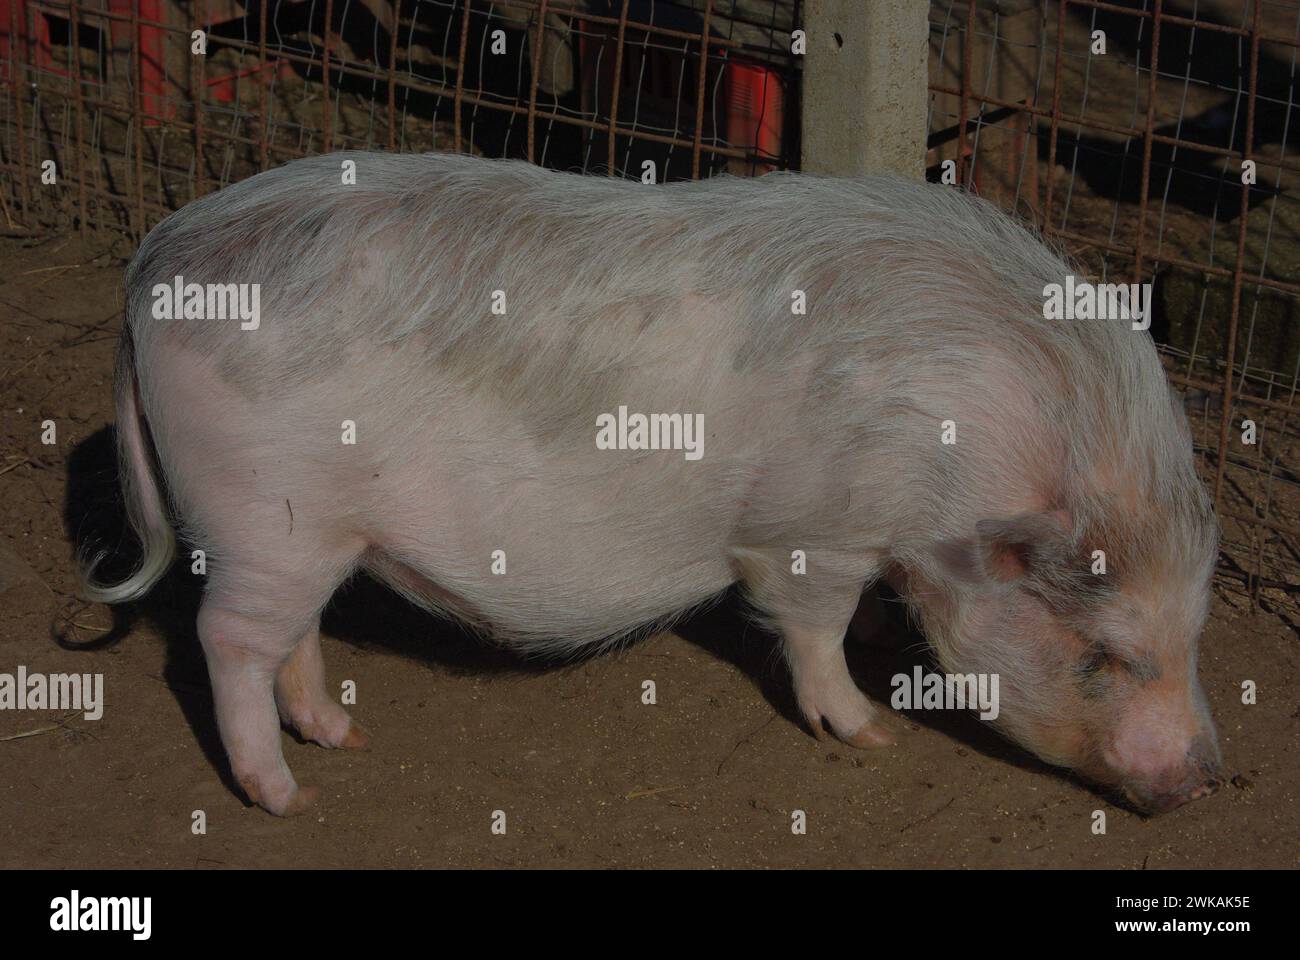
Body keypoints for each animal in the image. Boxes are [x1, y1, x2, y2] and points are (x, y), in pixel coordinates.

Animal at [80, 151, 1225, 816]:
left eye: (1192, 633)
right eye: (1105, 655)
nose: (1199, 782)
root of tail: (154, 264)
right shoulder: (817, 527)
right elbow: (810, 630)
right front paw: (870, 733)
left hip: (310, 532)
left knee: (296, 635)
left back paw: (341, 734)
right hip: (261, 515)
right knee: (227, 640)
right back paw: (291, 798)